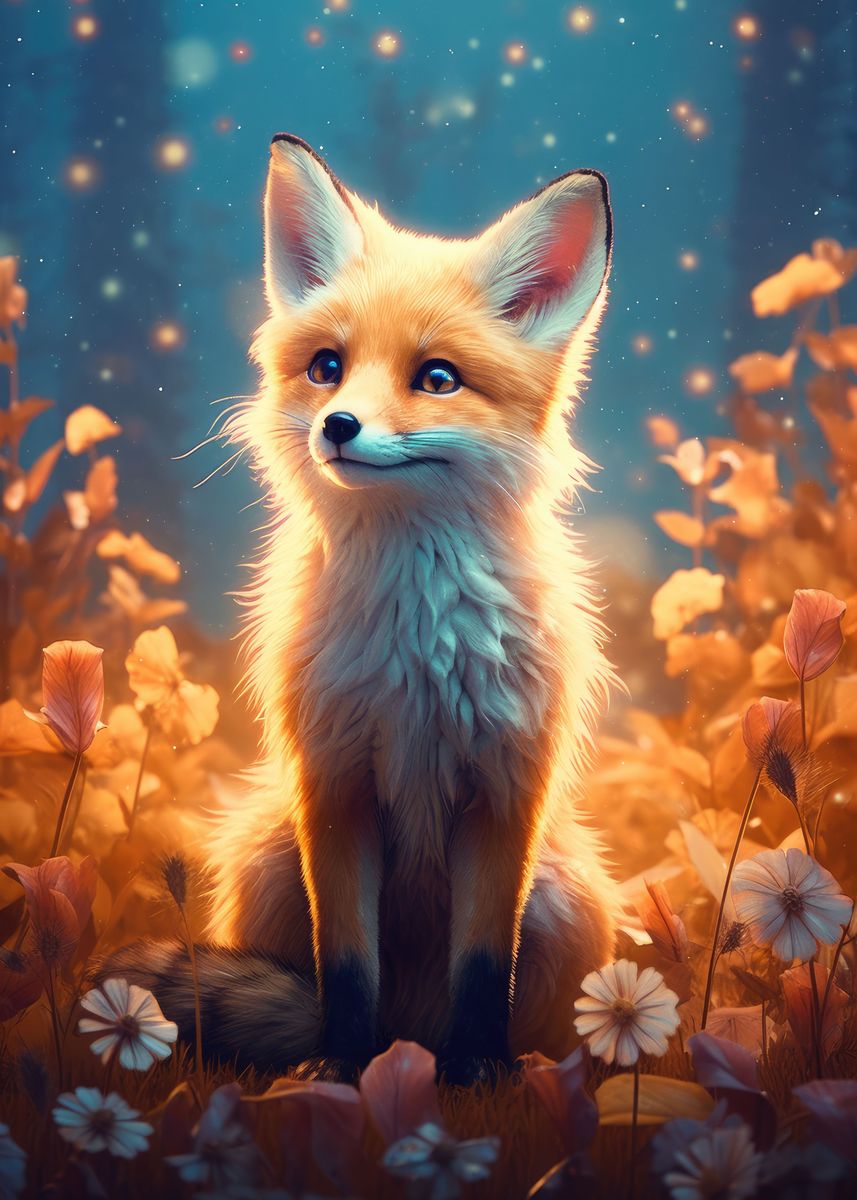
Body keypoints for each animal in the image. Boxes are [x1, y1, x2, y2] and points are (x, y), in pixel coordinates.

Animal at [109, 134, 624, 1085]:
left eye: (436, 378)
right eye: (327, 368)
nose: (337, 426)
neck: (414, 648)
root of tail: (409, 1027)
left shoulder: (503, 794)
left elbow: (482, 965)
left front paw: (477, 1077)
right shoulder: (333, 784)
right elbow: (345, 964)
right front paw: (341, 1079)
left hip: (569, 898)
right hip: (266, 855)